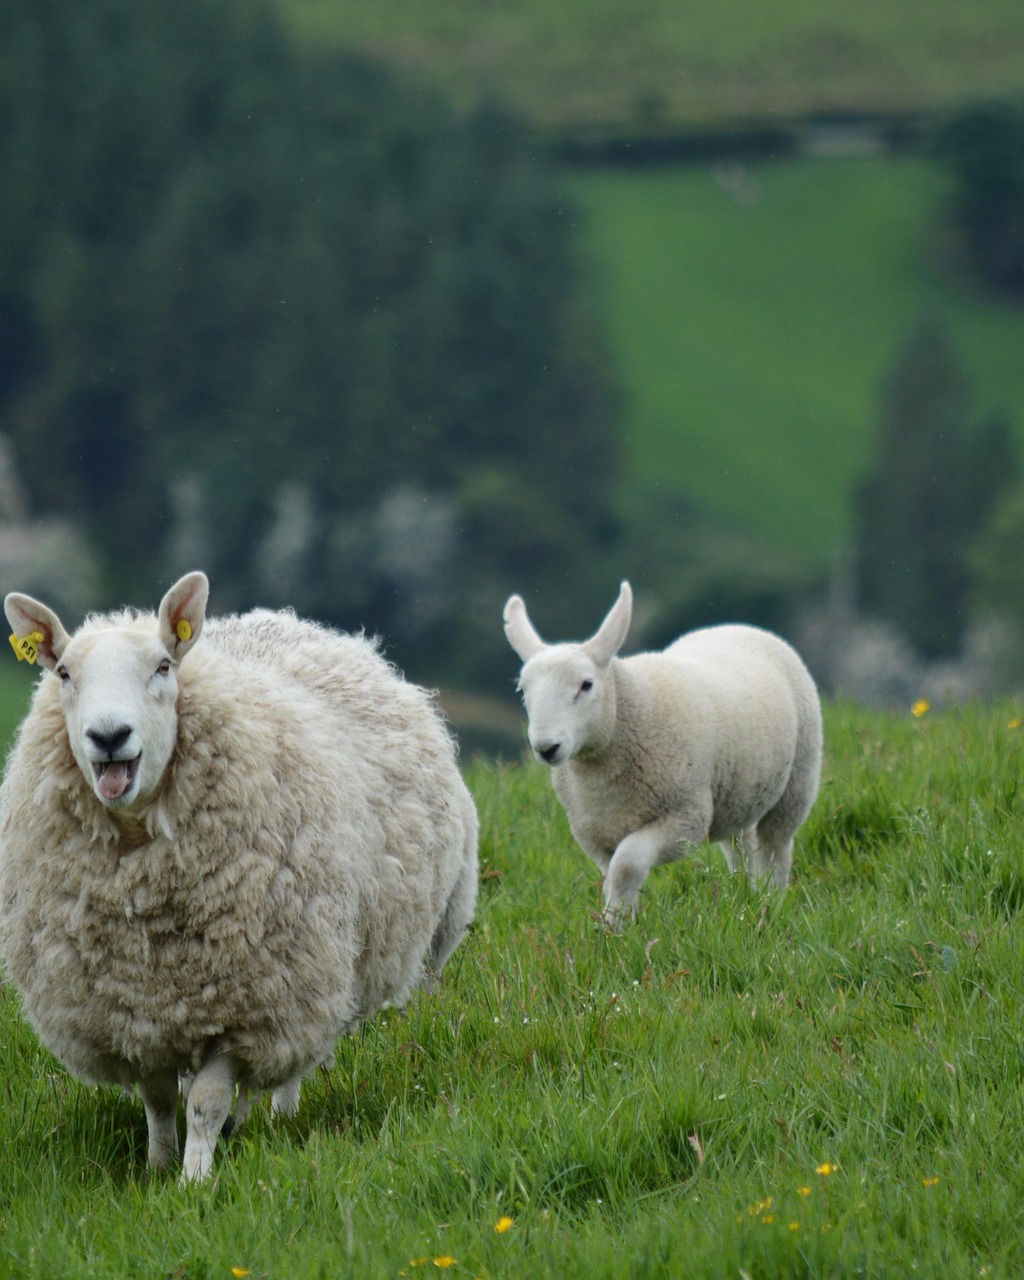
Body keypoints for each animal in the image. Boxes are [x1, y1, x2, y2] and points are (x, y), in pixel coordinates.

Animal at [0, 571, 478, 1181]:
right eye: (63, 673)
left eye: (163, 666)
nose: (109, 737)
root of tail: (288, 621)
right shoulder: (133, 1010)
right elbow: (159, 1099)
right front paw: (157, 1169)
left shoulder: (247, 1002)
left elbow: (205, 1101)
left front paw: (194, 1180)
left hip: (312, 973)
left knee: (294, 1058)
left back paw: (278, 1116)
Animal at [503, 581, 821, 924]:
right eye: (522, 691)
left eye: (586, 685)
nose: (546, 747)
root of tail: (736, 626)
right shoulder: (594, 834)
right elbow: (612, 876)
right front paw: (618, 921)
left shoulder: (685, 819)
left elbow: (627, 864)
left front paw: (615, 924)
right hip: (738, 792)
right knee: (741, 844)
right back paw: (746, 896)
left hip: (797, 781)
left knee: (775, 846)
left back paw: (770, 899)